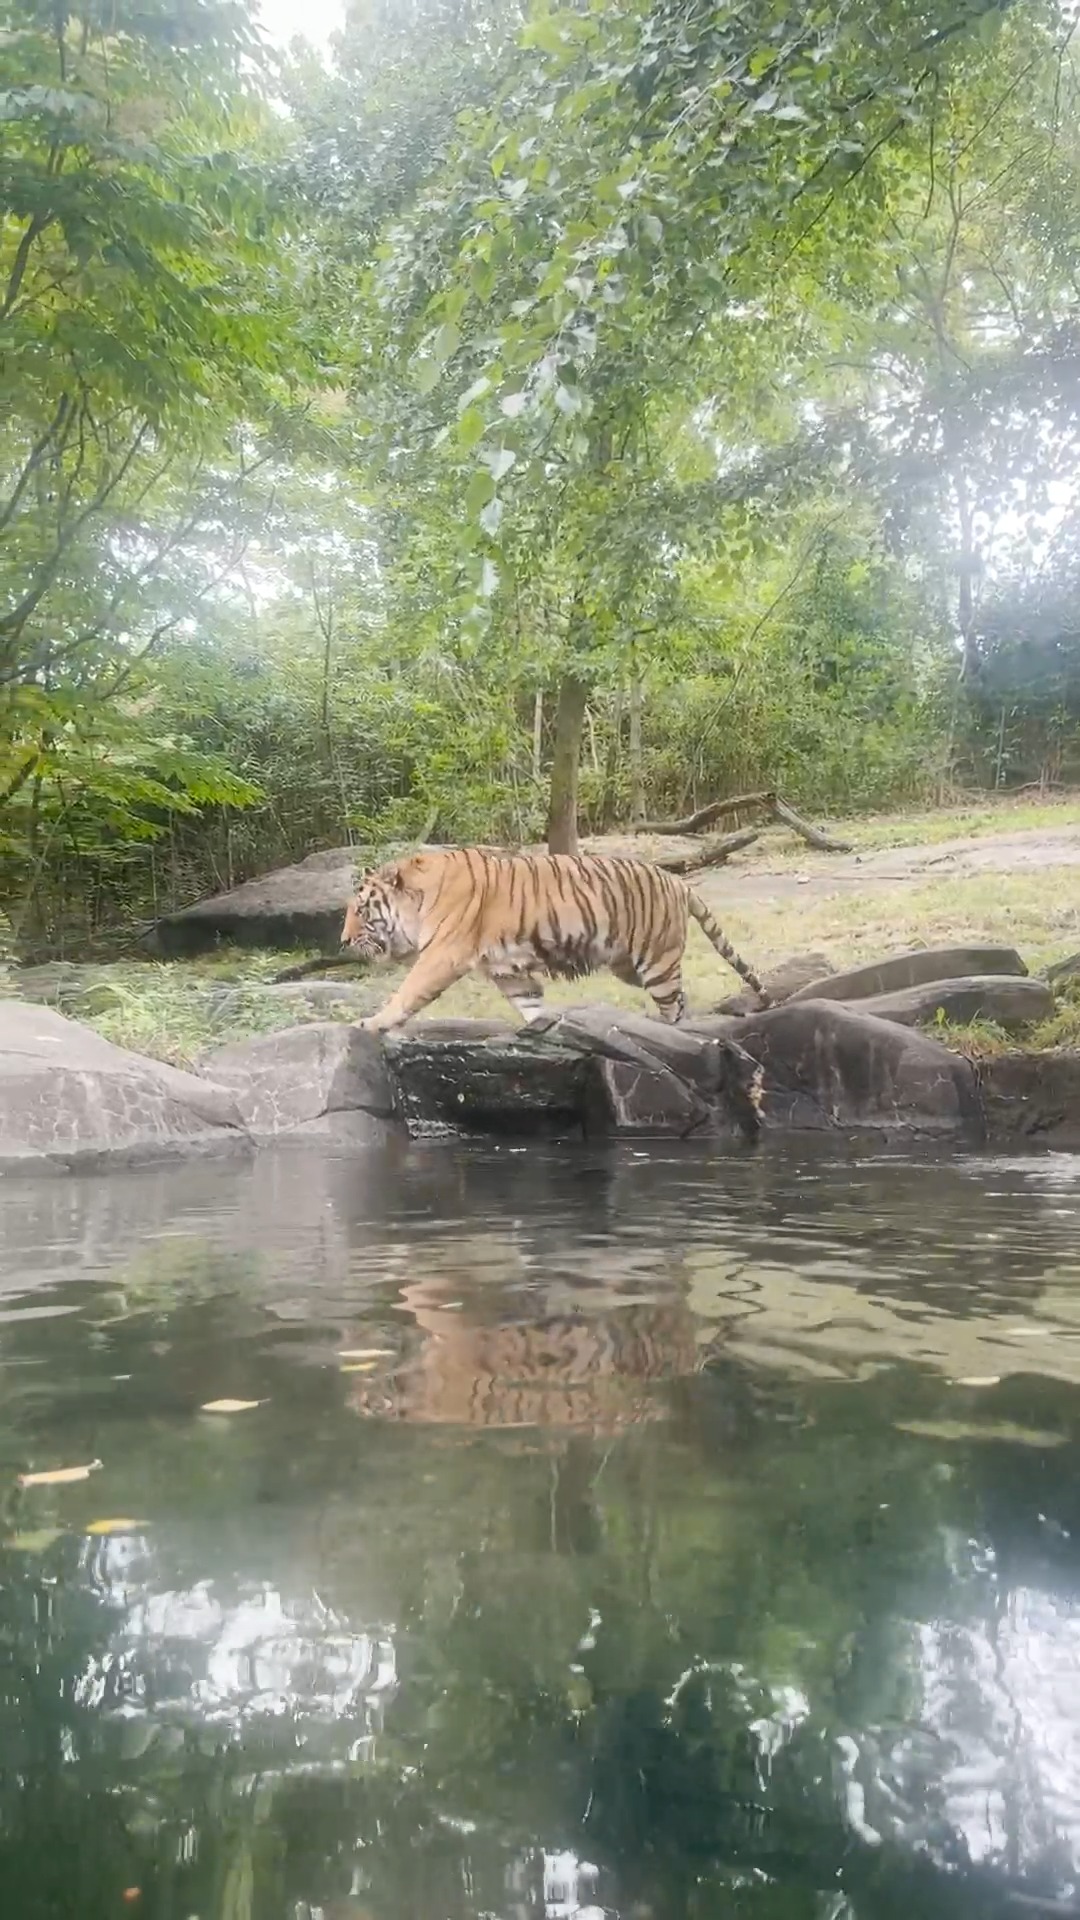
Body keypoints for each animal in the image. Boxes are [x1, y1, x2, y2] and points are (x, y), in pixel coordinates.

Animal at [341, 846, 769, 1031]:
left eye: (360, 911)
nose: (343, 942)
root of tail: (678, 881)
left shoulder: (441, 955)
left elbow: (407, 992)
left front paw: (372, 1023)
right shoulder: (506, 969)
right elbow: (530, 1003)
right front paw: (543, 1028)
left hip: (656, 962)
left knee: (673, 1005)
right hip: (628, 965)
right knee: (681, 997)